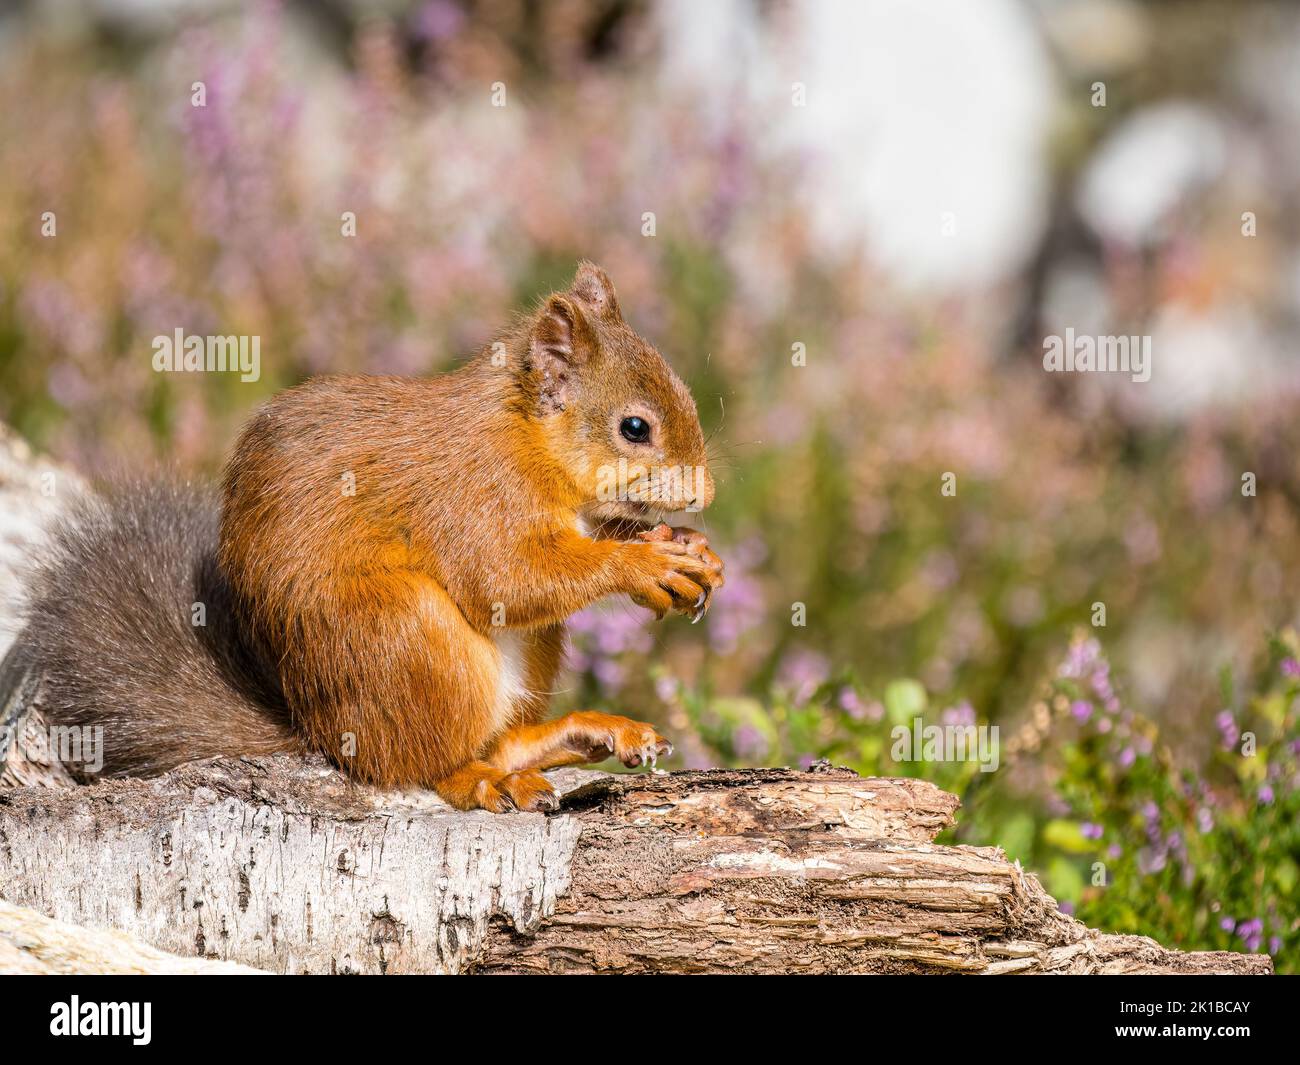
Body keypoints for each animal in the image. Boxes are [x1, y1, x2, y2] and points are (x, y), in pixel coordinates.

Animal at [0, 262, 724, 812]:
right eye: (635, 428)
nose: (706, 494)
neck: (526, 437)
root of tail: (318, 732)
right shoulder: (477, 498)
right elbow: (509, 579)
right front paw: (644, 563)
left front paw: (692, 549)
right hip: (410, 635)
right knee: (427, 762)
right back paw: (485, 779)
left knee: (497, 739)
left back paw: (586, 732)